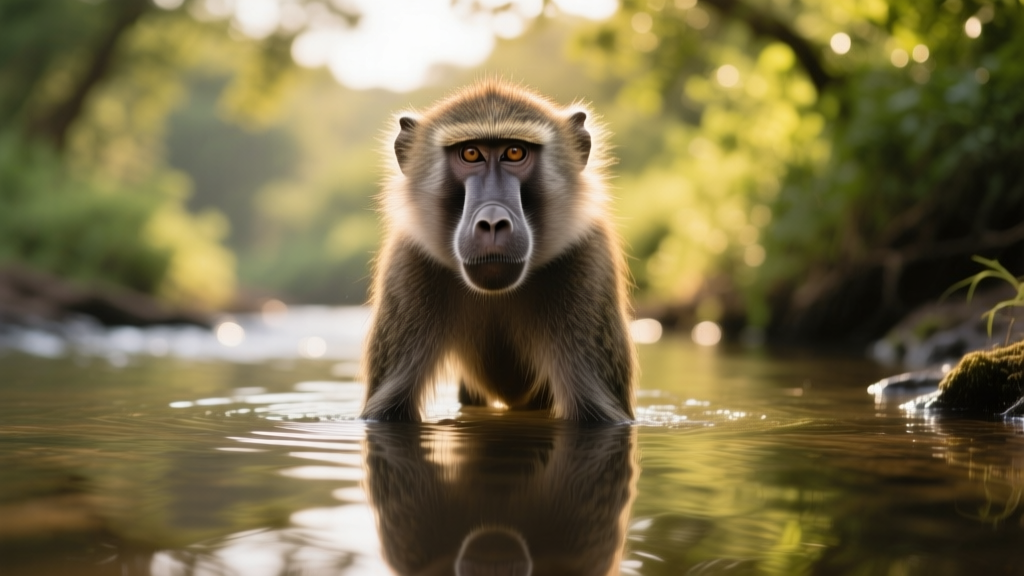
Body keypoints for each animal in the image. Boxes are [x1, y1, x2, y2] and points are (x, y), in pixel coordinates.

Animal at [360, 79, 635, 423]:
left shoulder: (590, 261)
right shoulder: (408, 263)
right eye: (470, 153)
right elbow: (387, 413)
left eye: (514, 152)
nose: (492, 222)